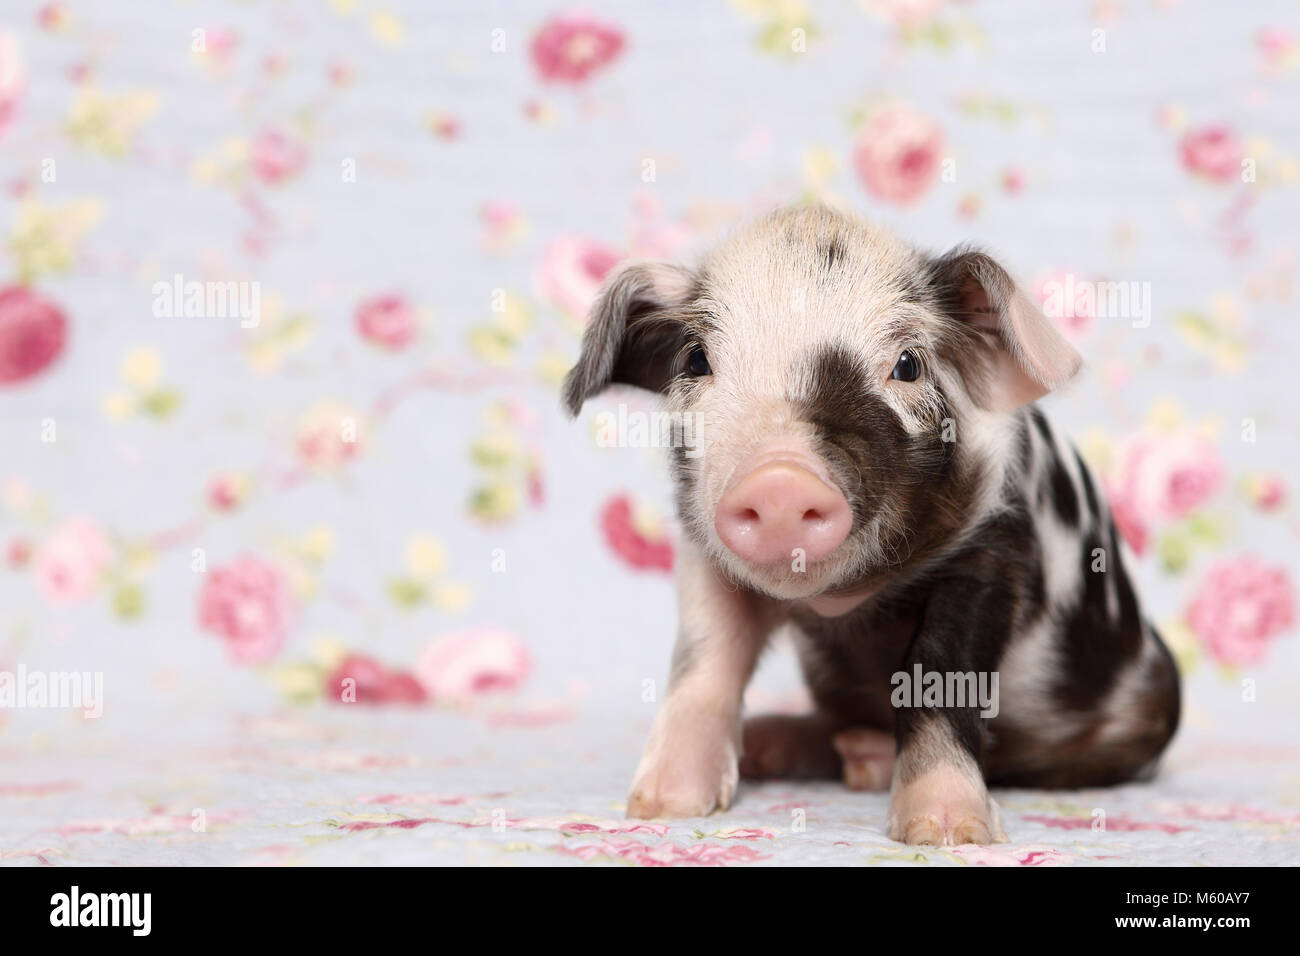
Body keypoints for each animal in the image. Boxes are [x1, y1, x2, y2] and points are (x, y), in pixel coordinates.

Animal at [562, 205, 1180, 845]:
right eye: (695, 360)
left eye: (908, 365)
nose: (780, 476)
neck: (842, 604)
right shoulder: (704, 558)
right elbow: (705, 658)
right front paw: (661, 807)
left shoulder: (992, 552)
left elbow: (939, 673)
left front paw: (948, 833)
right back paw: (777, 747)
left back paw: (866, 763)